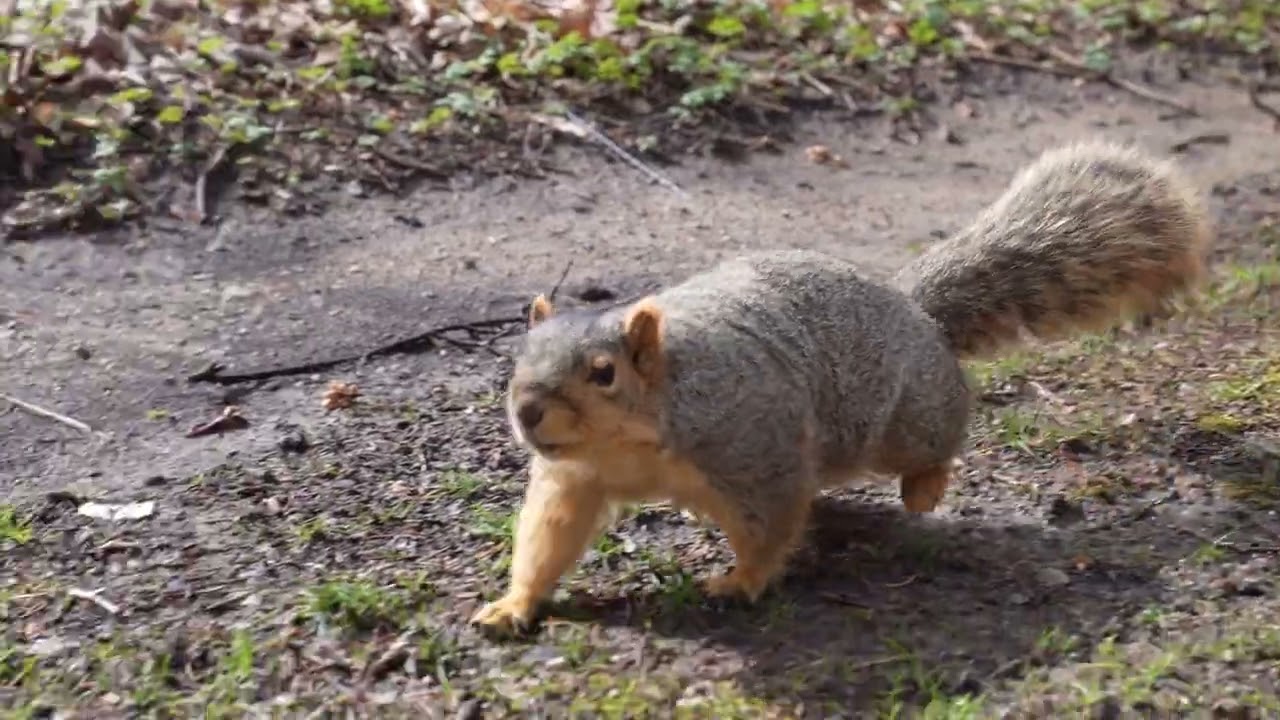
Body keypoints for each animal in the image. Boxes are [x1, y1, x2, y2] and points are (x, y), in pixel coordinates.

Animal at [469, 140, 1212, 635]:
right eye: (518, 357)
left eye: (605, 372)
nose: (529, 412)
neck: (633, 440)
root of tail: (914, 311)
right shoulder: (574, 479)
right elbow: (548, 537)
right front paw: (512, 605)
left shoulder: (752, 446)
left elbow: (768, 526)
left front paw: (740, 582)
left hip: (902, 421)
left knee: (939, 435)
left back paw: (925, 487)